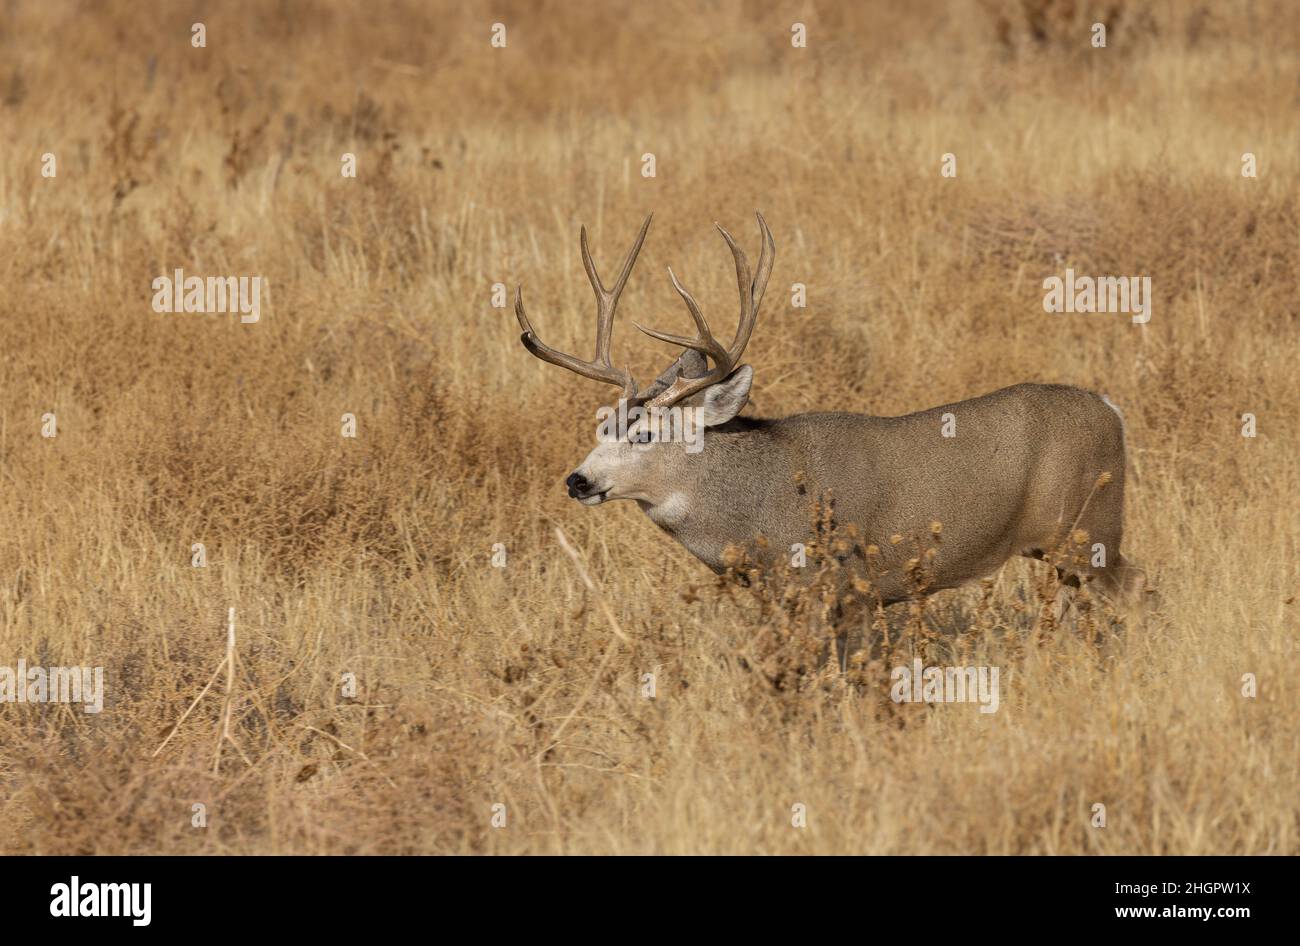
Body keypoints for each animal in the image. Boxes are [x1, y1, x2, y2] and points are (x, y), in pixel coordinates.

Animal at [514, 212, 1147, 635]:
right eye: (601, 427)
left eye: (645, 433)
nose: (577, 480)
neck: (756, 505)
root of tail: (1111, 409)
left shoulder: (842, 584)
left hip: (1090, 530)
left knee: (1139, 588)